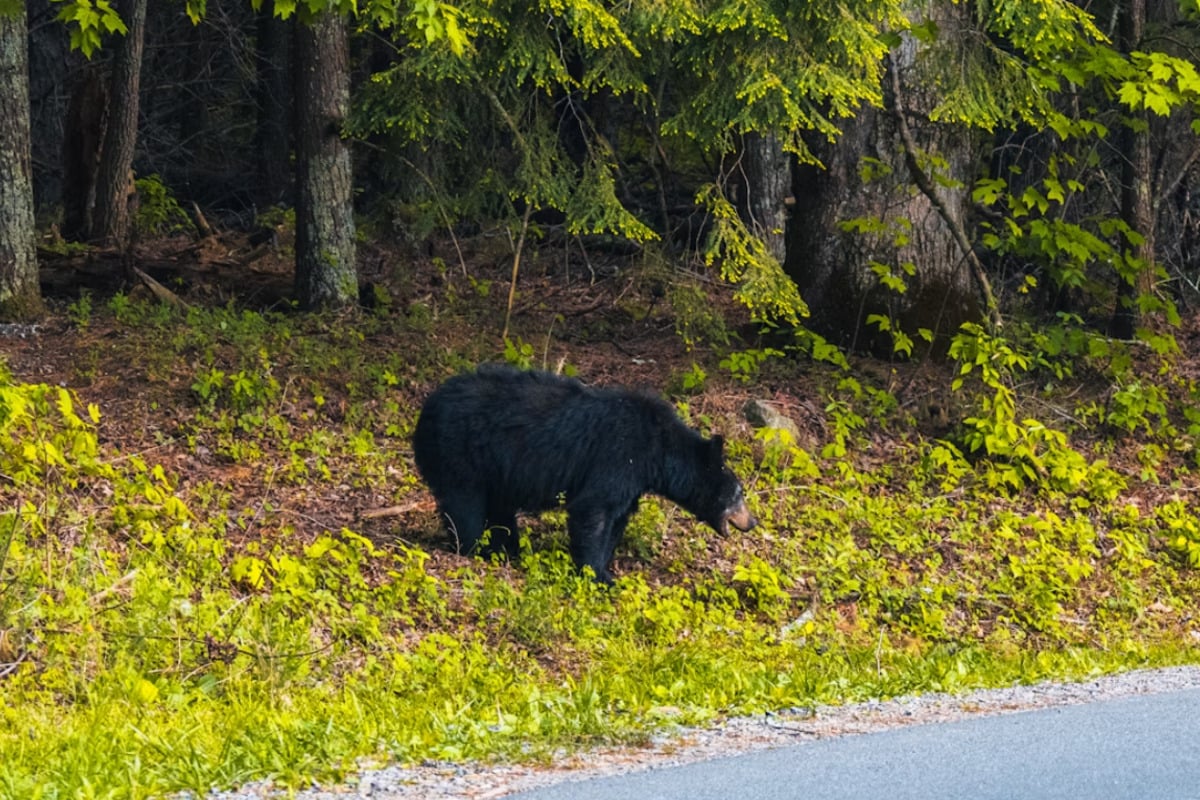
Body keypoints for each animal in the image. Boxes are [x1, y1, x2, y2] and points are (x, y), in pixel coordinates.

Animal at [411, 364, 757, 583]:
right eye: (739, 494)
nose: (752, 522)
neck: (659, 450)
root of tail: (426, 408)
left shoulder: (634, 479)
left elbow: (617, 518)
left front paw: (604, 566)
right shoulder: (619, 455)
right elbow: (594, 509)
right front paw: (598, 575)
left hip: (494, 466)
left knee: (499, 508)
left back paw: (507, 548)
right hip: (459, 450)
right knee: (464, 503)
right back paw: (476, 548)